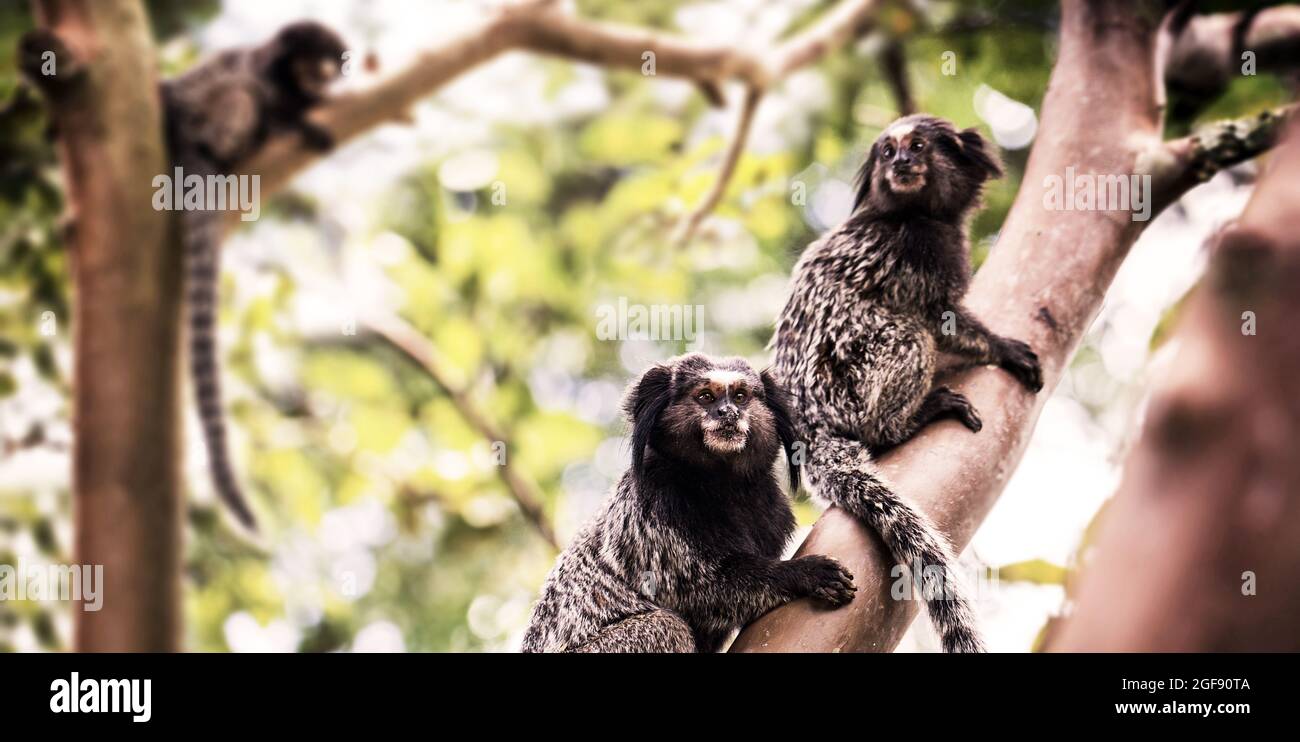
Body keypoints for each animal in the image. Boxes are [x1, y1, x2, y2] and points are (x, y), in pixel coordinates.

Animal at [161, 21, 346, 529]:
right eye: (317, 58)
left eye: (333, 61)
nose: (328, 73)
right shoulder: (260, 73)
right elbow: (258, 92)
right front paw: (295, 122)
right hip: (204, 117)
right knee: (238, 95)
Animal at [521, 354, 857, 653]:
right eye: (706, 397)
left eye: (740, 396)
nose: (728, 412)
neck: (719, 486)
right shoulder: (651, 508)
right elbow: (695, 589)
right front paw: (804, 574)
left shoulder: (772, 513)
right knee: (666, 627)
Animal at [770, 114, 1043, 653]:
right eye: (888, 151)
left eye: (917, 147)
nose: (900, 163)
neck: (919, 216)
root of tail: (810, 428)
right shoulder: (913, 258)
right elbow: (943, 321)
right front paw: (1002, 346)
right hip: (852, 386)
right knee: (909, 335)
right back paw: (908, 419)